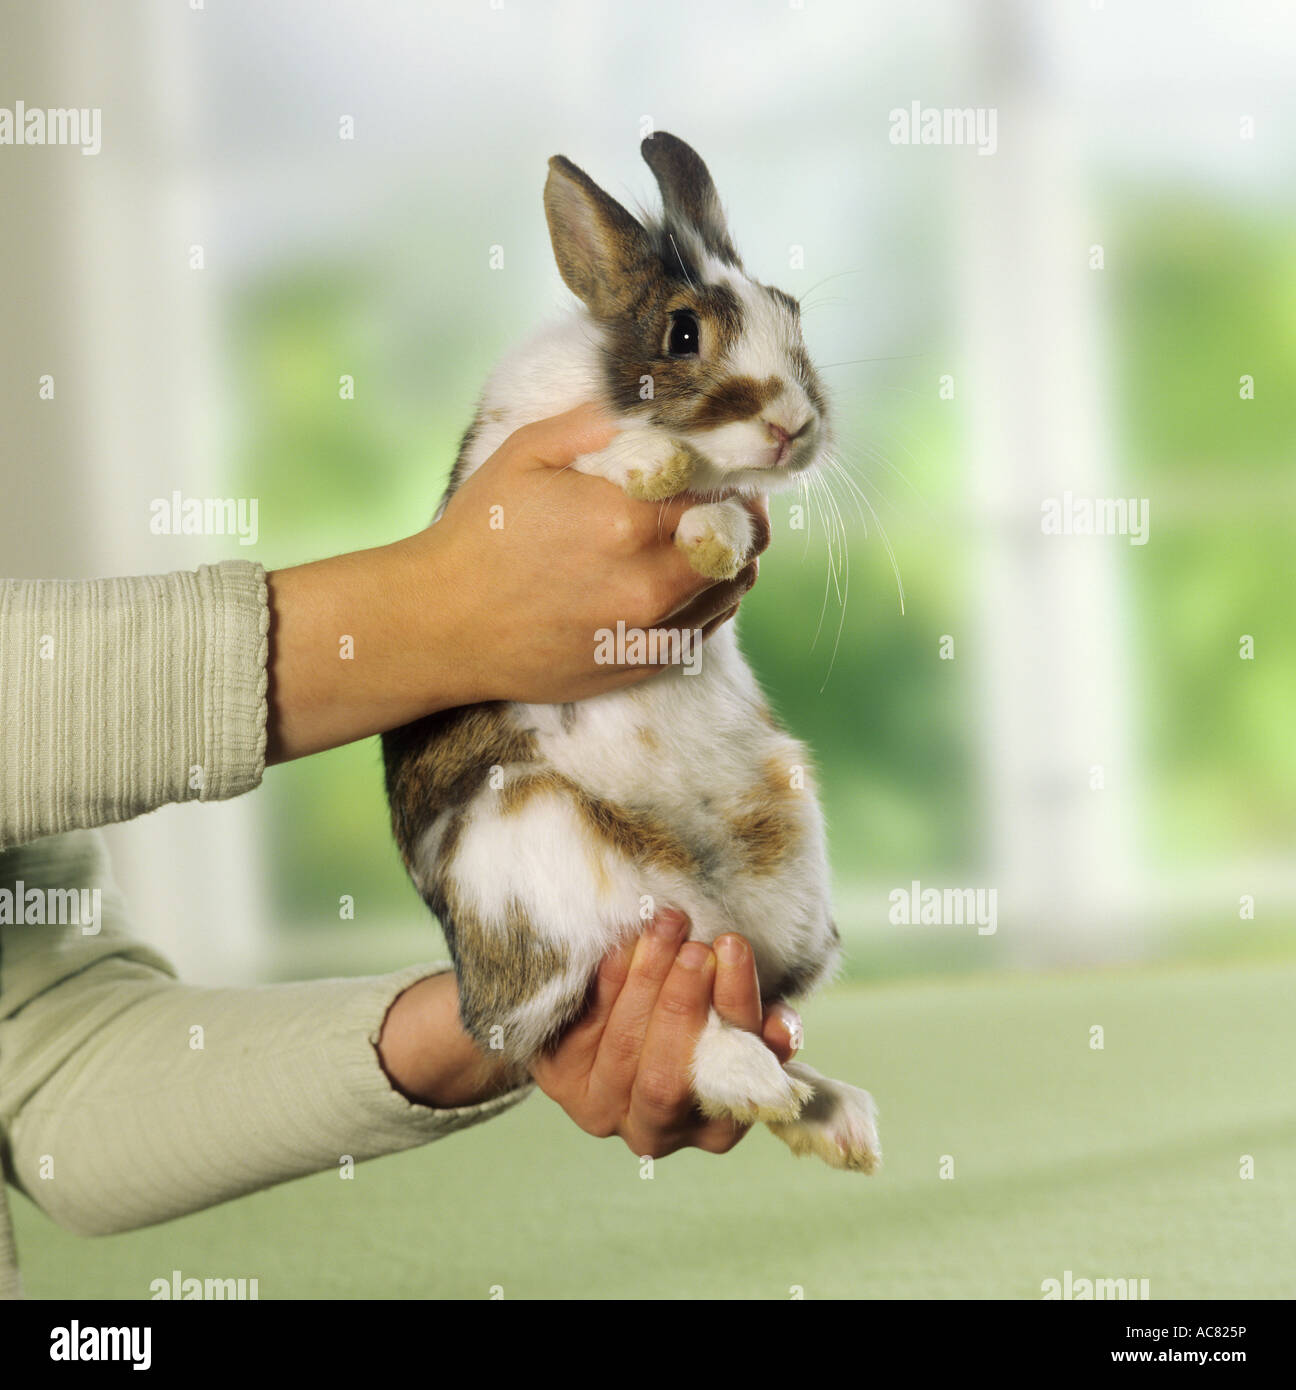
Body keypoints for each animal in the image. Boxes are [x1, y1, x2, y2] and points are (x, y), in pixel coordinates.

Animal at [382, 133, 880, 1173]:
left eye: (792, 313)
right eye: (683, 335)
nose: (794, 425)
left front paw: (715, 527)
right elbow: (631, 462)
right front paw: (671, 479)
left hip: (785, 861)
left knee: (753, 1009)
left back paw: (830, 1116)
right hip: (538, 847)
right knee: (654, 1028)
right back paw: (764, 1085)